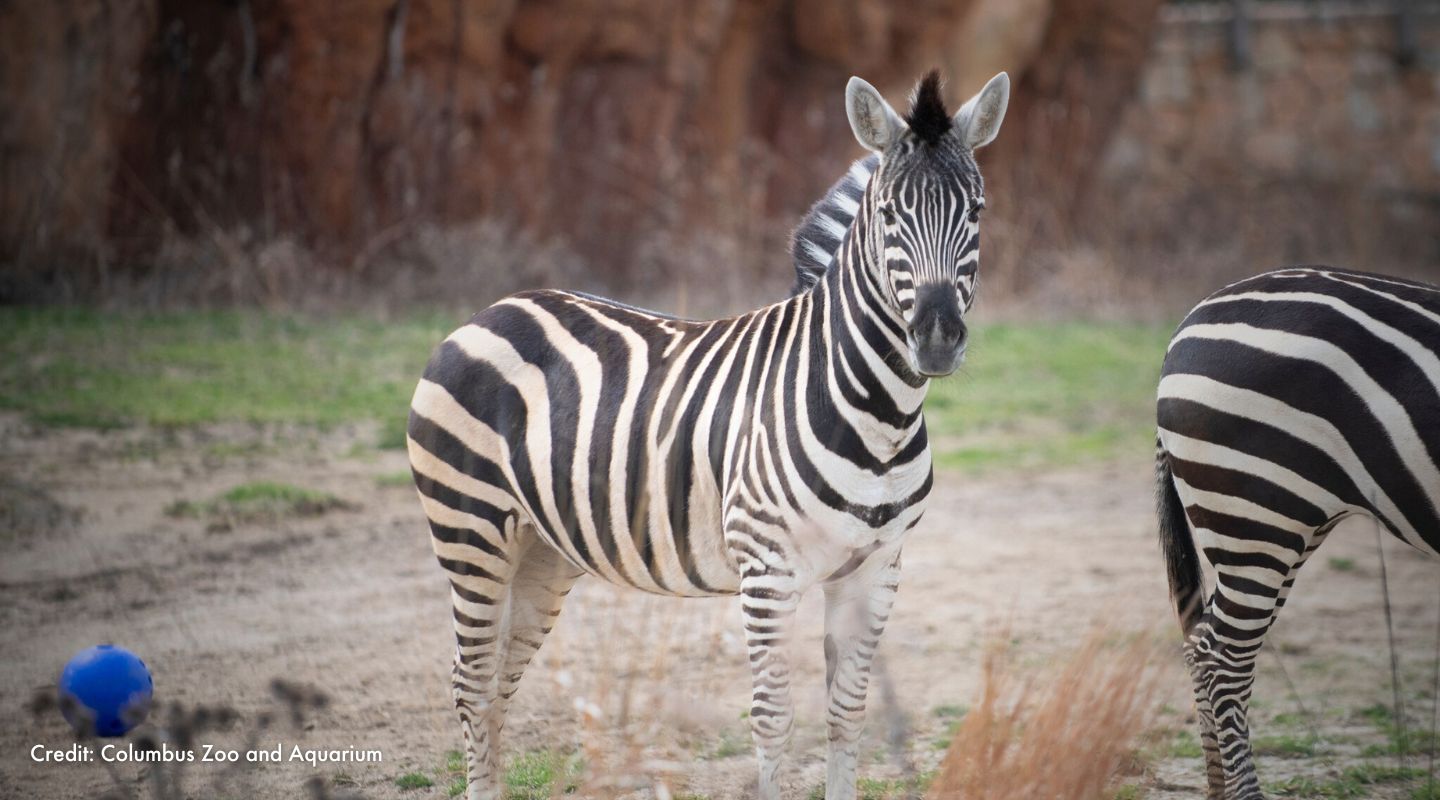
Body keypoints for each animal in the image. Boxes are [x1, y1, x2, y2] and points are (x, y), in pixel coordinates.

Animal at [406, 69, 1009, 800]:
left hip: (541, 550)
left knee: (497, 687)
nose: (938, 338)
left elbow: (846, 713)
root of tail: (493, 309)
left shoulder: (877, 569)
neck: (879, 416)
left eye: (976, 211)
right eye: (891, 215)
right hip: (470, 530)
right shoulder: (768, 572)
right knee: (470, 685)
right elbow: (774, 720)